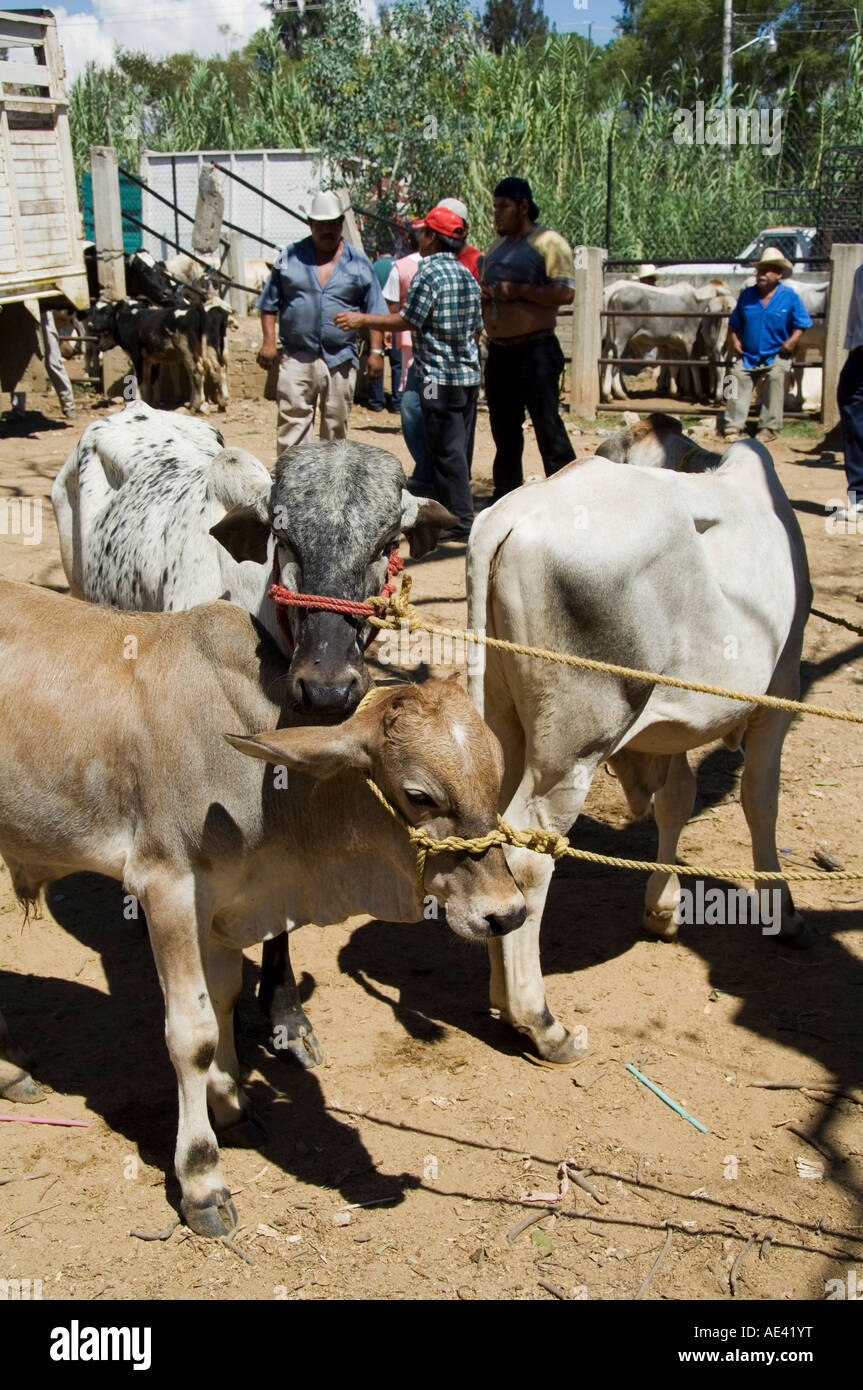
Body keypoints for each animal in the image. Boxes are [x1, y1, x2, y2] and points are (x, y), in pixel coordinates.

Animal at [0, 587, 526, 1235]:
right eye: (419, 794)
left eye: (496, 774)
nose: (507, 913)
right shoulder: (163, 886)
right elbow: (192, 1032)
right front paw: (202, 1178)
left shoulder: (224, 898)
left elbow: (224, 998)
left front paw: (230, 1104)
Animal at [466, 443, 811, 1063]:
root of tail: (517, 511)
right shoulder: (781, 688)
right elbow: (760, 800)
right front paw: (784, 911)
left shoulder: (667, 728)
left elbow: (677, 801)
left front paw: (663, 908)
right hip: (572, 749)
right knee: (530, 855)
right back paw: (541, 1023)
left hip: (505, 724)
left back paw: (503, 1004)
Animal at [601, 280, 734, 403]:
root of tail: (616, 294)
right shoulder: (689, 341)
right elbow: (693, 365)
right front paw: (699, 392)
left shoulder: (676, 345)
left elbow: (679, 366)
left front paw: (683, 391)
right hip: (622, 337)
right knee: (613, 358)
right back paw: (613, 393)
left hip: (612, 338)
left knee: (609, 356)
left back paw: (614, 394)